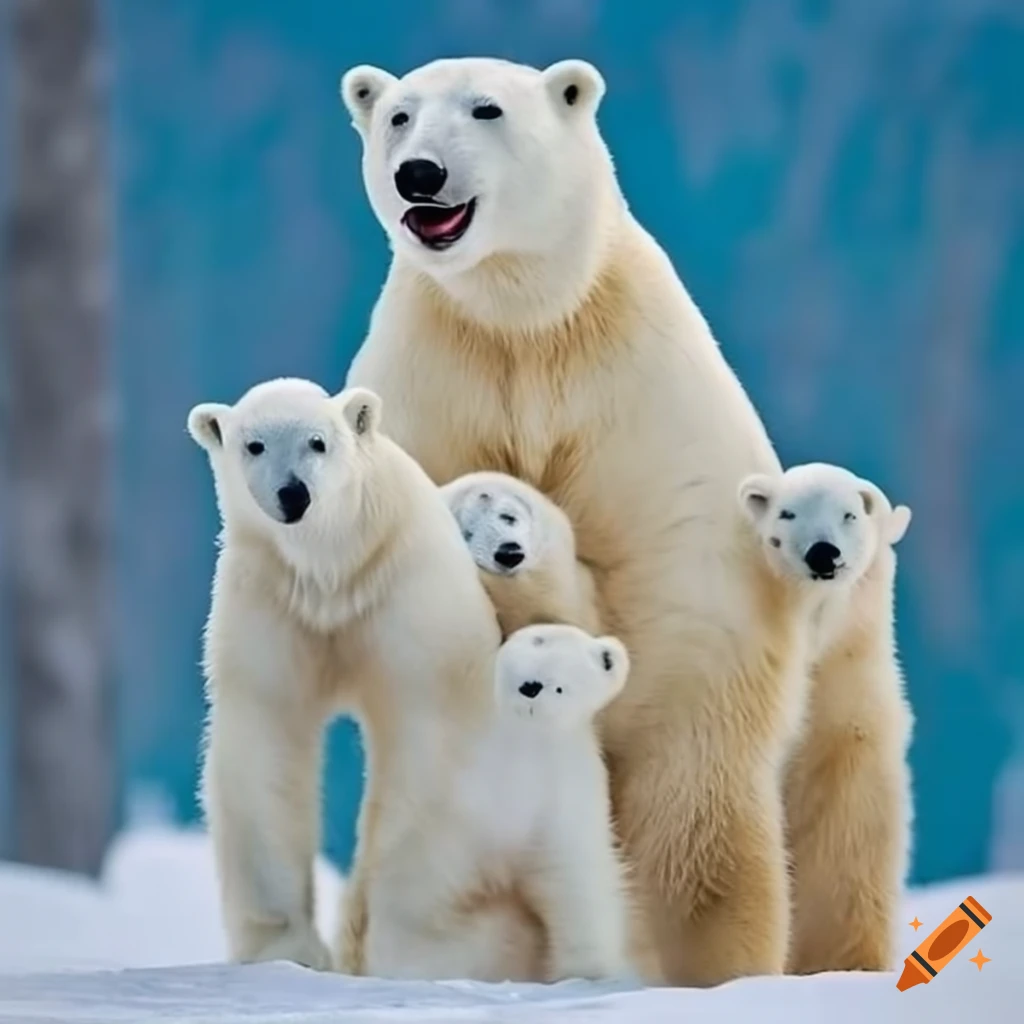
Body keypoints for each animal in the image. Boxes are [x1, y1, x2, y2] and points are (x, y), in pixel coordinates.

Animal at [737, 462, 914, 974]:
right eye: (787, 513)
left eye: (851, 514)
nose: (822, 552)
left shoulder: (847, 726)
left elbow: (844, 846)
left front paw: (845, 962)